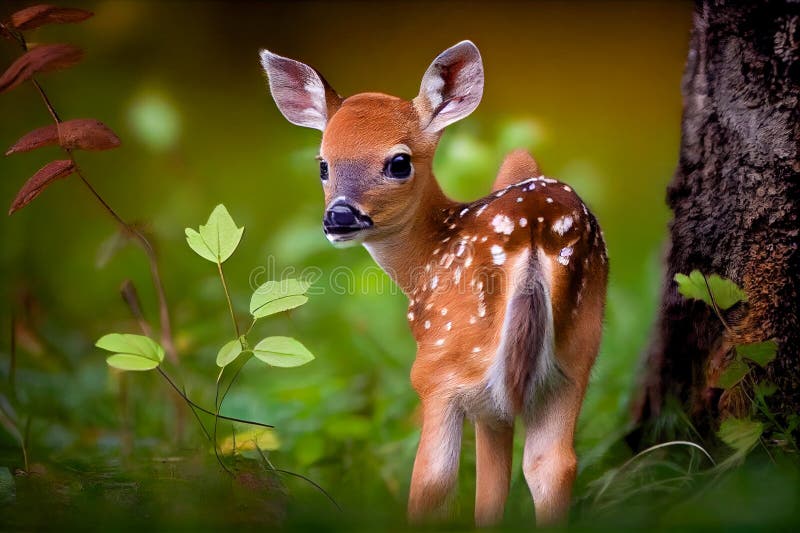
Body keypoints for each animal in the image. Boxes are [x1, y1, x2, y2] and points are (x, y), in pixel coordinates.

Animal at [259, 40, 608, 527]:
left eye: (399, 162)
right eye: (323, 165)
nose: (339, 216)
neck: (424, 259)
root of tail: (536, 232)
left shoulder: (452, 375)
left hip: (443, 362)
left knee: (433, 479)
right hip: (575, 355)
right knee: (552, 464)